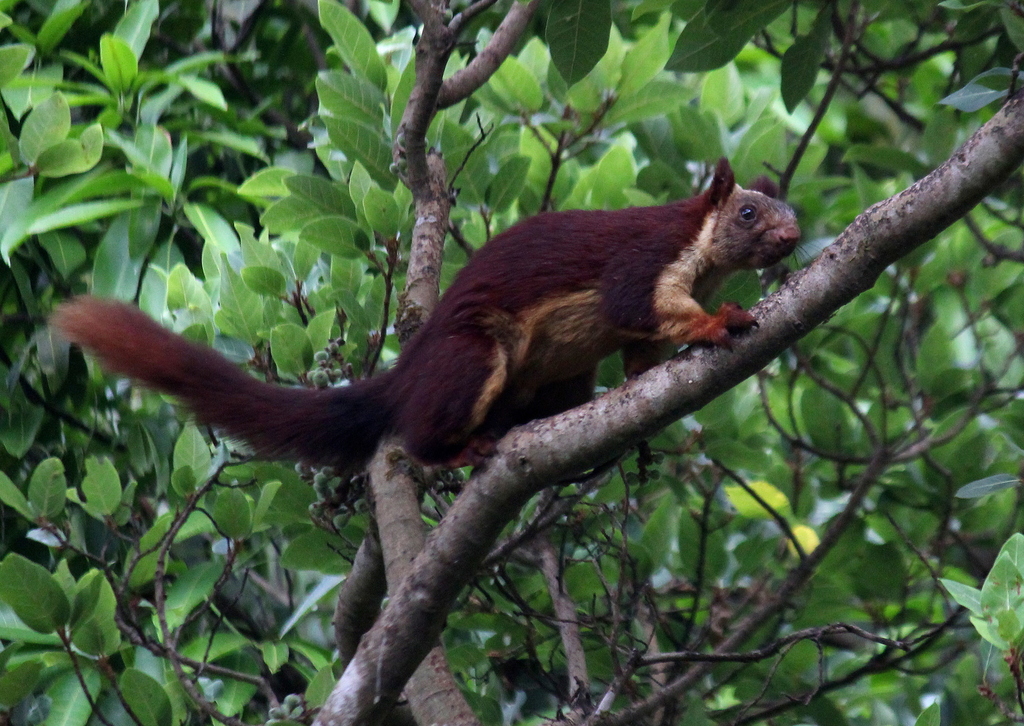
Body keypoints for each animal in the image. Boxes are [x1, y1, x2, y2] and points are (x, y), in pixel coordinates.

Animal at [53, 158, 799, 469]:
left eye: (789, 208)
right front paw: (719, 320)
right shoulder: (641, 262)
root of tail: (407, 374)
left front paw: (645, 383)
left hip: (556, 378)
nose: (793, 235)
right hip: (473, 358)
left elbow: (642, 354)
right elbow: (637, 307)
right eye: (748, 212)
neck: (699, 250)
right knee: (418, 434)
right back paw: (459, 448)